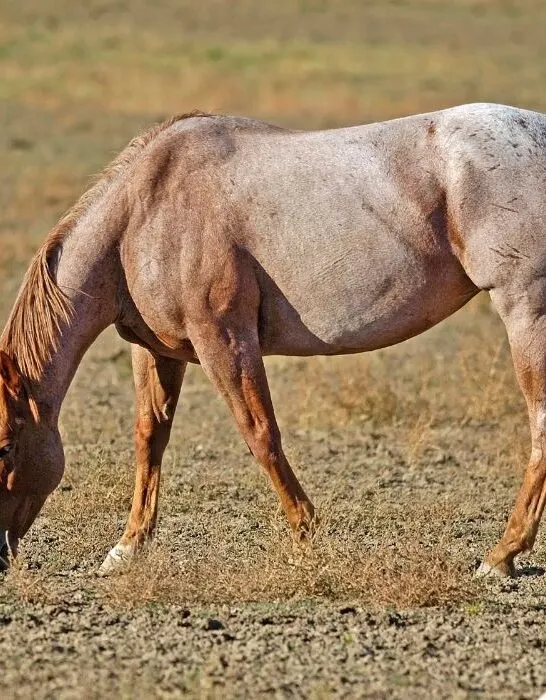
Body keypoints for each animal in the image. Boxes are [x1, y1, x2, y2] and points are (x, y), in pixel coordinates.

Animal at [0, 103, 544, 578]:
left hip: (525, 312)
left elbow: (260, 434)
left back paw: (500, 557)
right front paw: (128, 547)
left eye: (4, 447)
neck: (143, 212)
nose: (0, 557)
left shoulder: (223, 339)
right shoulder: (155, 351)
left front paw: (307, 536)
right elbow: (149, 437)